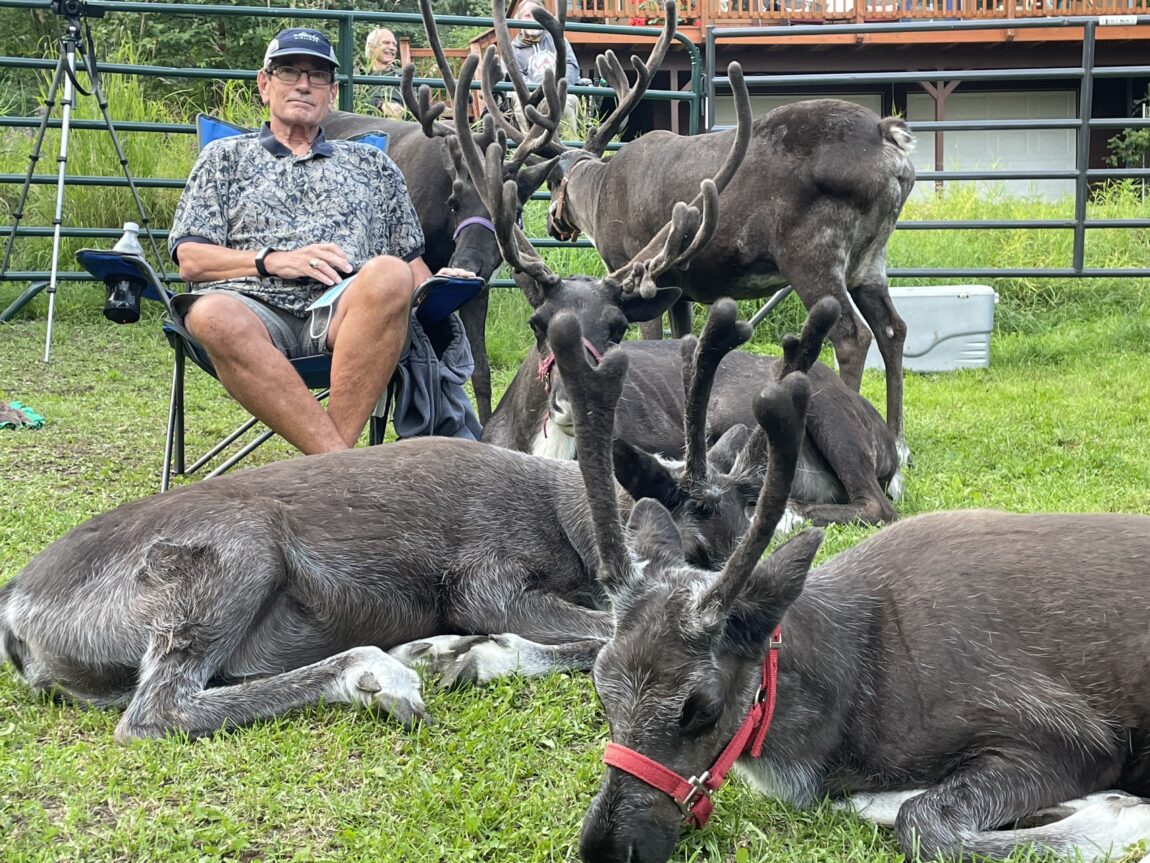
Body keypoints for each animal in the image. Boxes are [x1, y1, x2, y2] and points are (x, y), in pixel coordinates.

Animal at [485, 0, 918, 458]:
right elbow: (683, 338)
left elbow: (650, 333)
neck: (598, 192)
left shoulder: (635, 267)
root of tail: (891, 139)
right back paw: (899, 443)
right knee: (893, 328)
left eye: (553, 183)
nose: (554, 222)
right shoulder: (680, 287)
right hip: (870, 260)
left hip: (812, 253)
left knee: (852, 335)